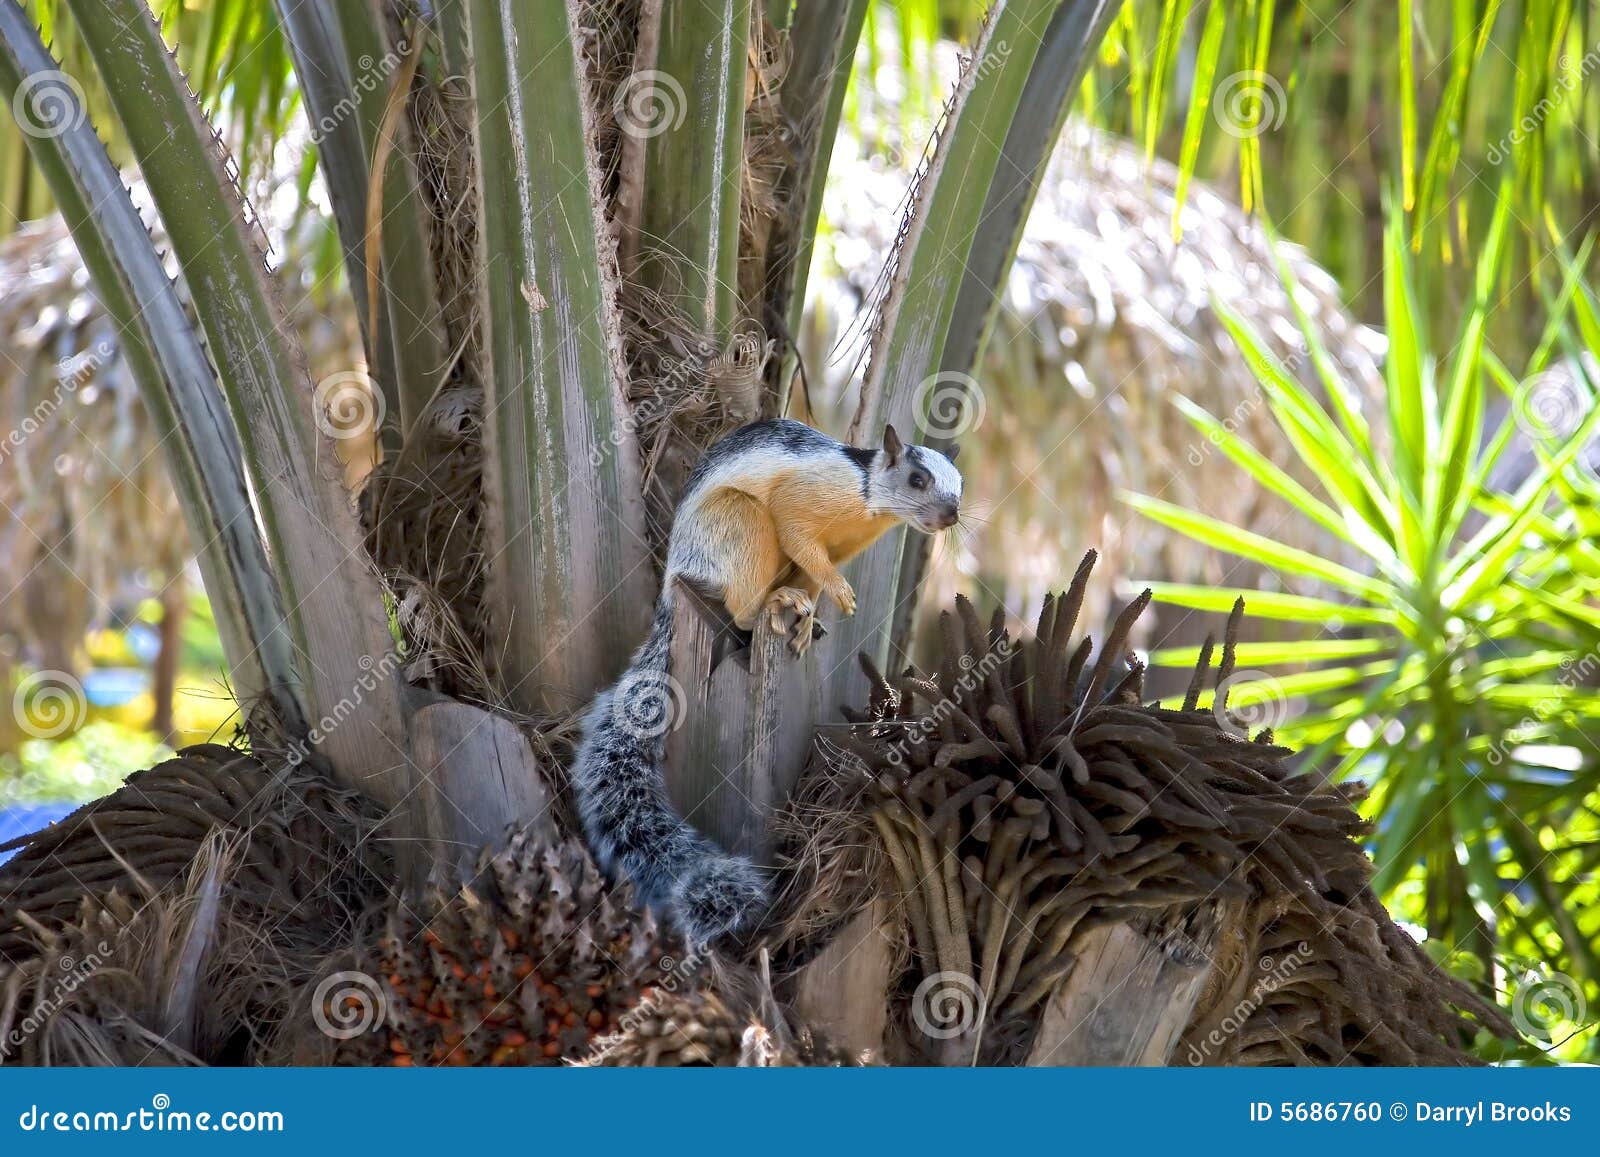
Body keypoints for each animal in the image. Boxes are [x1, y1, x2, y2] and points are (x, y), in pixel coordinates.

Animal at [574, 418, 964, 945]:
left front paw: (813, 611)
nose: (950, 516)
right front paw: (836, 593)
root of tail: (674, 579)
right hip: (742, 524)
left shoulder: (840, 547)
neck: (867, 497)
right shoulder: (803, 501)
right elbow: (799, 535)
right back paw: (772, 603)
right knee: (742, 606)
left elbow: (814, 569)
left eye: (960, 484)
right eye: (917, 479)